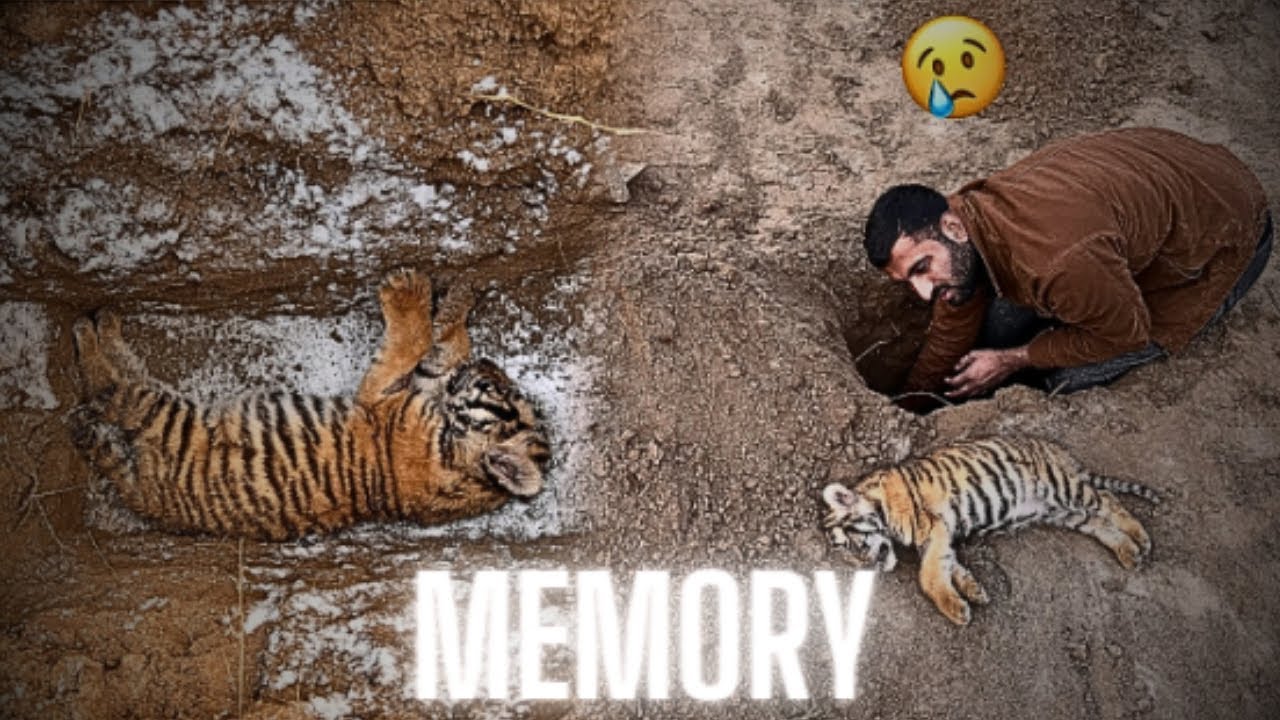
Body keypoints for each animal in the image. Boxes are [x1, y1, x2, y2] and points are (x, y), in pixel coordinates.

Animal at [70, 268, 551, 541]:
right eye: (508, 389)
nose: (490, 365)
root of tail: (151, 503)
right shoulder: (426, 384)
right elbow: (445, 347)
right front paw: (460, 297)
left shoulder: (382, 395)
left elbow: (412, 342)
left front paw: (406, 289)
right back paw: (105, 323)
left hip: (163, 414)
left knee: (110, 386)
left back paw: (91, 332)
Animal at [821, 436, 1158, 626]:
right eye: (847, 556)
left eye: (852, 544)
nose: (870, 567)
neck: (880, 503)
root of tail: (1055, 450)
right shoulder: (941, 536)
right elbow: (950, 566)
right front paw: (973, 592)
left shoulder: (934, 528)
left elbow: (928, 574)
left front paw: (957, 611)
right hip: (1063, 513)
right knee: (1099, 522)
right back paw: (1129, 552)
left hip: (1063, 488)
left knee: (1108, 499)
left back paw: (1142, 538)